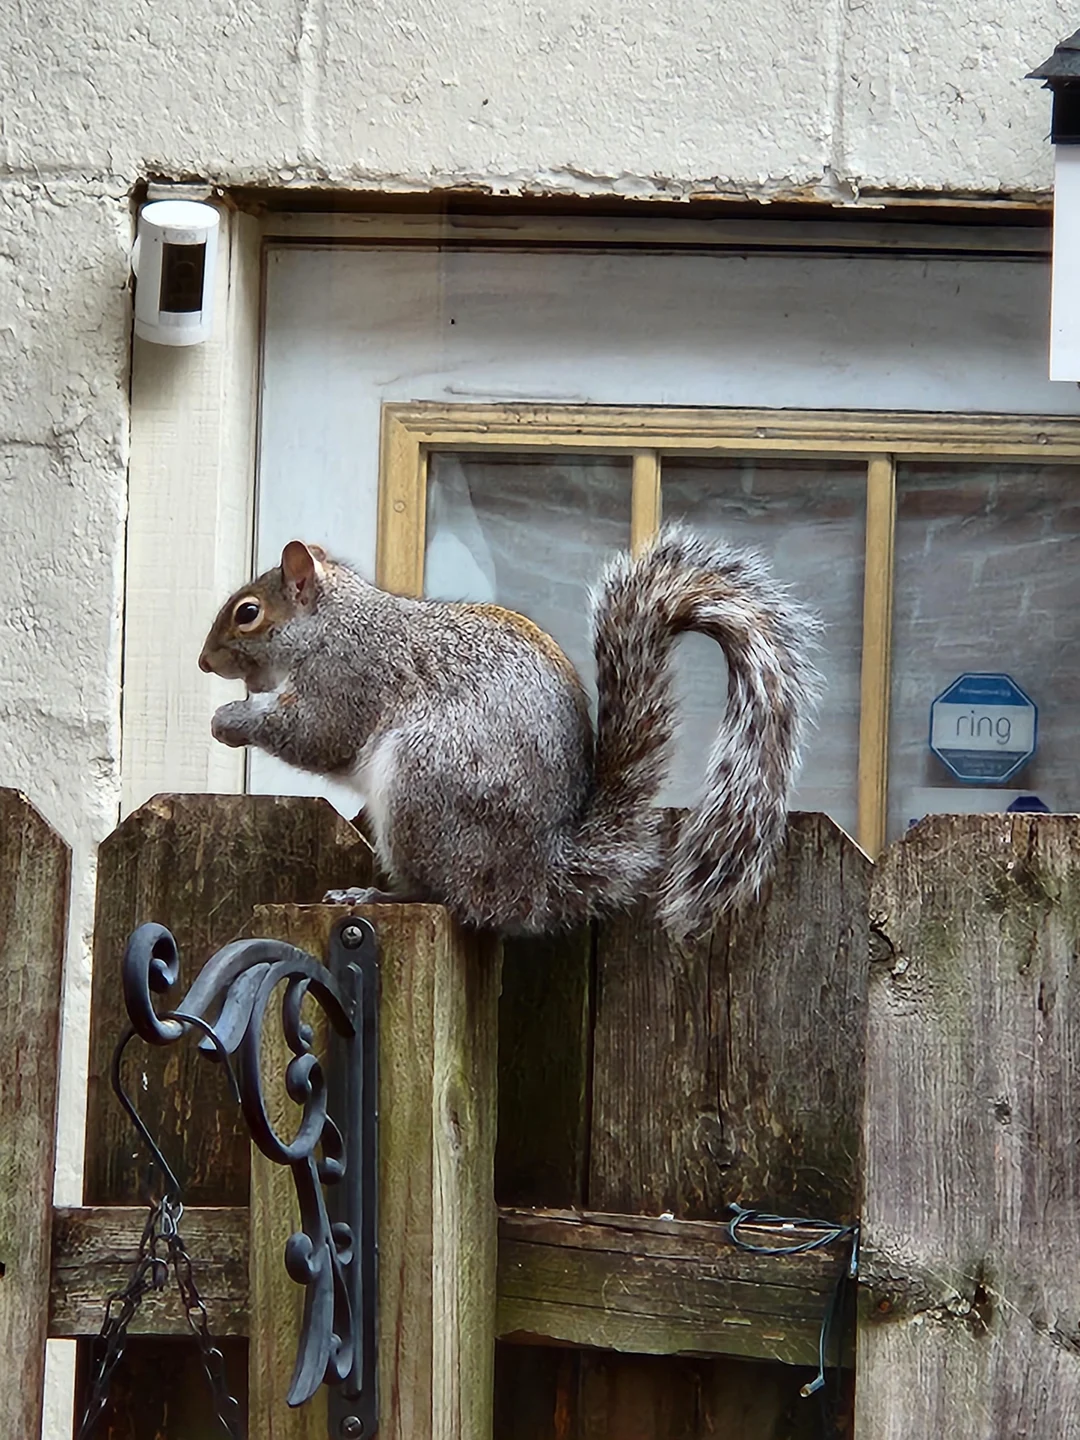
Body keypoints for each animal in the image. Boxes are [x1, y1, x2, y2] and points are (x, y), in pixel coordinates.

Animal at [199, 528, 821, 938]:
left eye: (248, 613)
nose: (205, 662)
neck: (332, 621)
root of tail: (540, 873)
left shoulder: (347, 675)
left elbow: (317, 733)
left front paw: (231, 720)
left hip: (423, 785)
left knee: (443, 893)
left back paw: (374, 893)